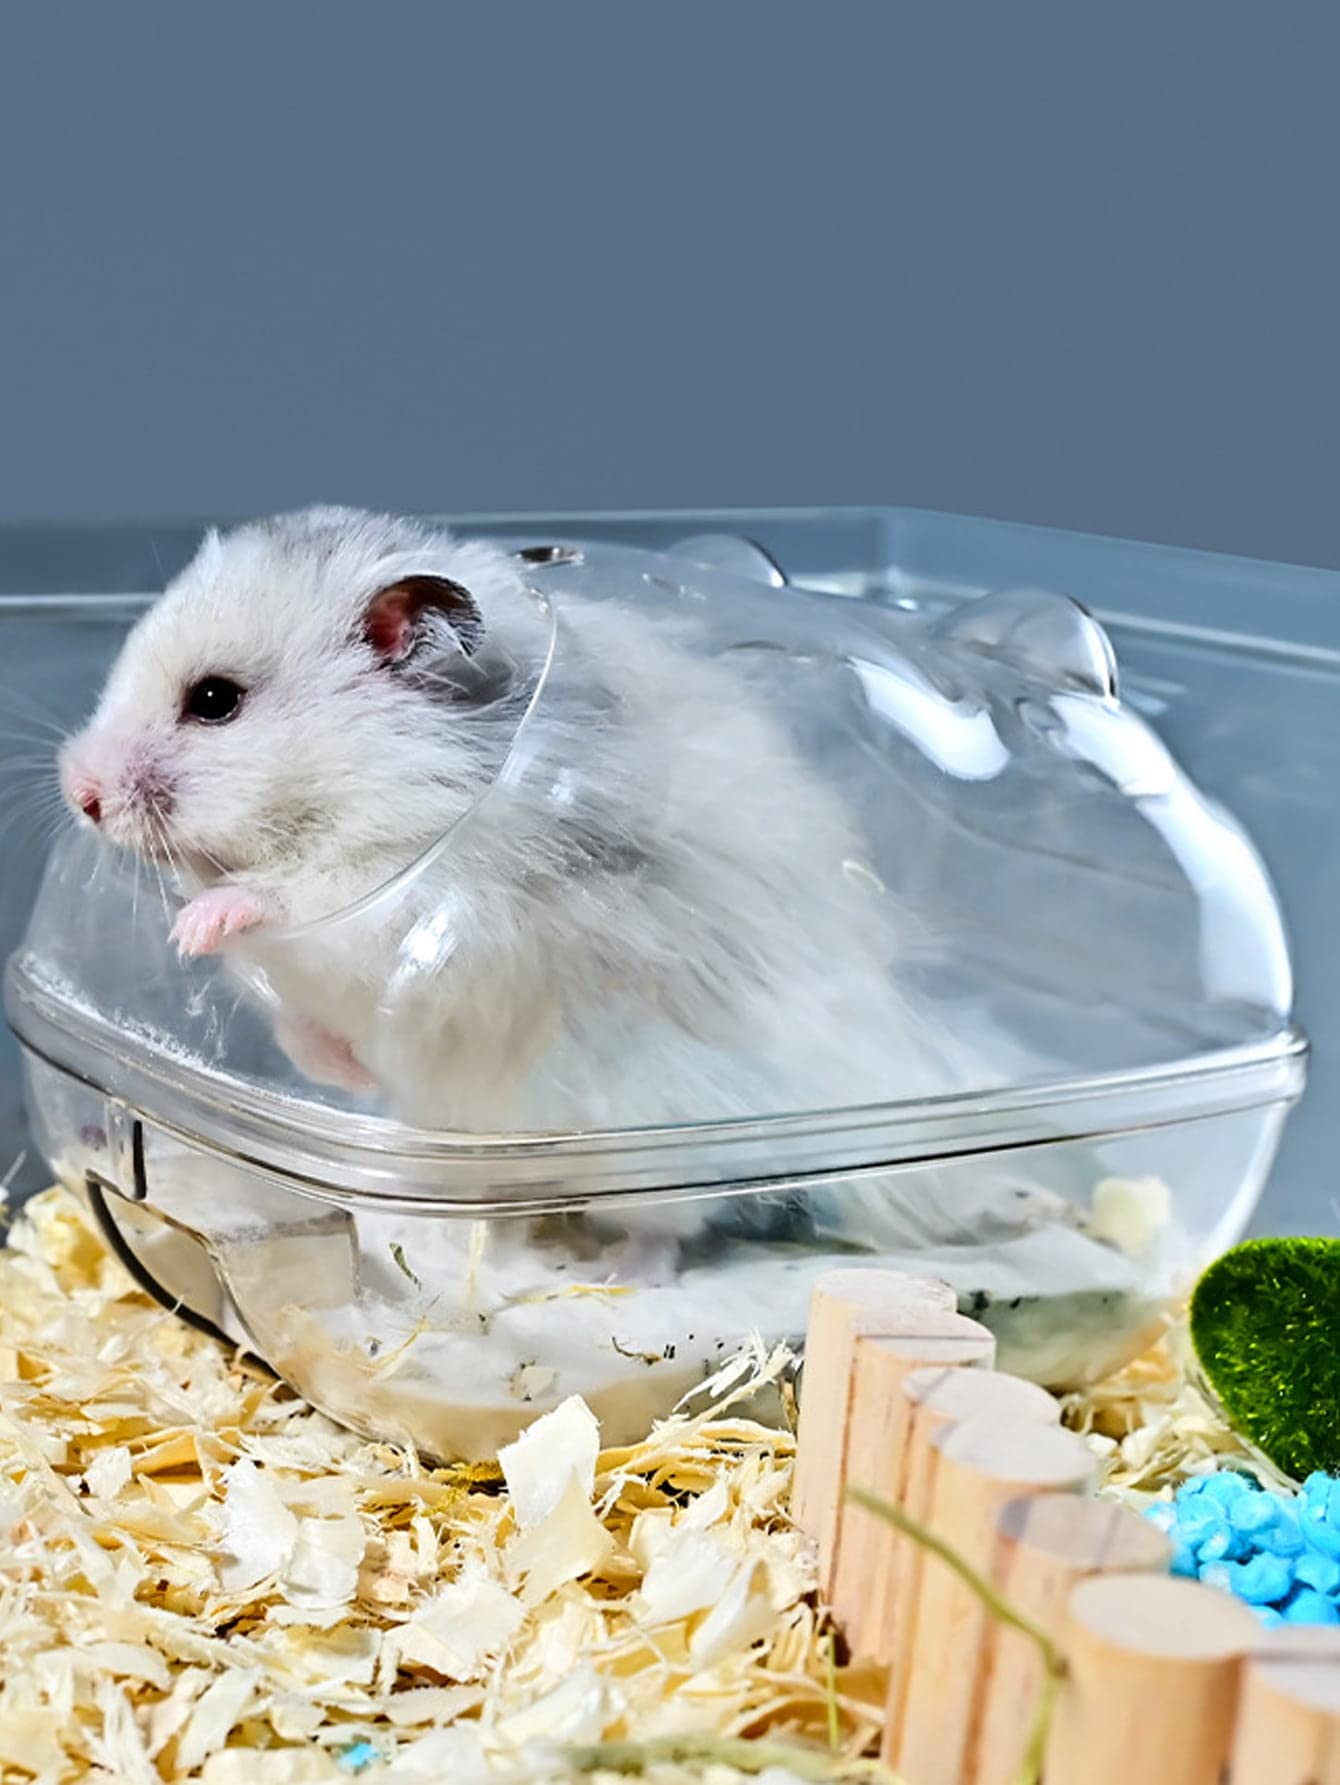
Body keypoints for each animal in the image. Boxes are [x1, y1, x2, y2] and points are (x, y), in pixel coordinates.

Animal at [59, 507, 965, 1185]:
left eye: (215, 700)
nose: (80, 794)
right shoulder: (299, 986)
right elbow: (299, 1026)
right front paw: (348, 1074)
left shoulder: (408, 893)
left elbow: (294, 894)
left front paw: (194, 926)